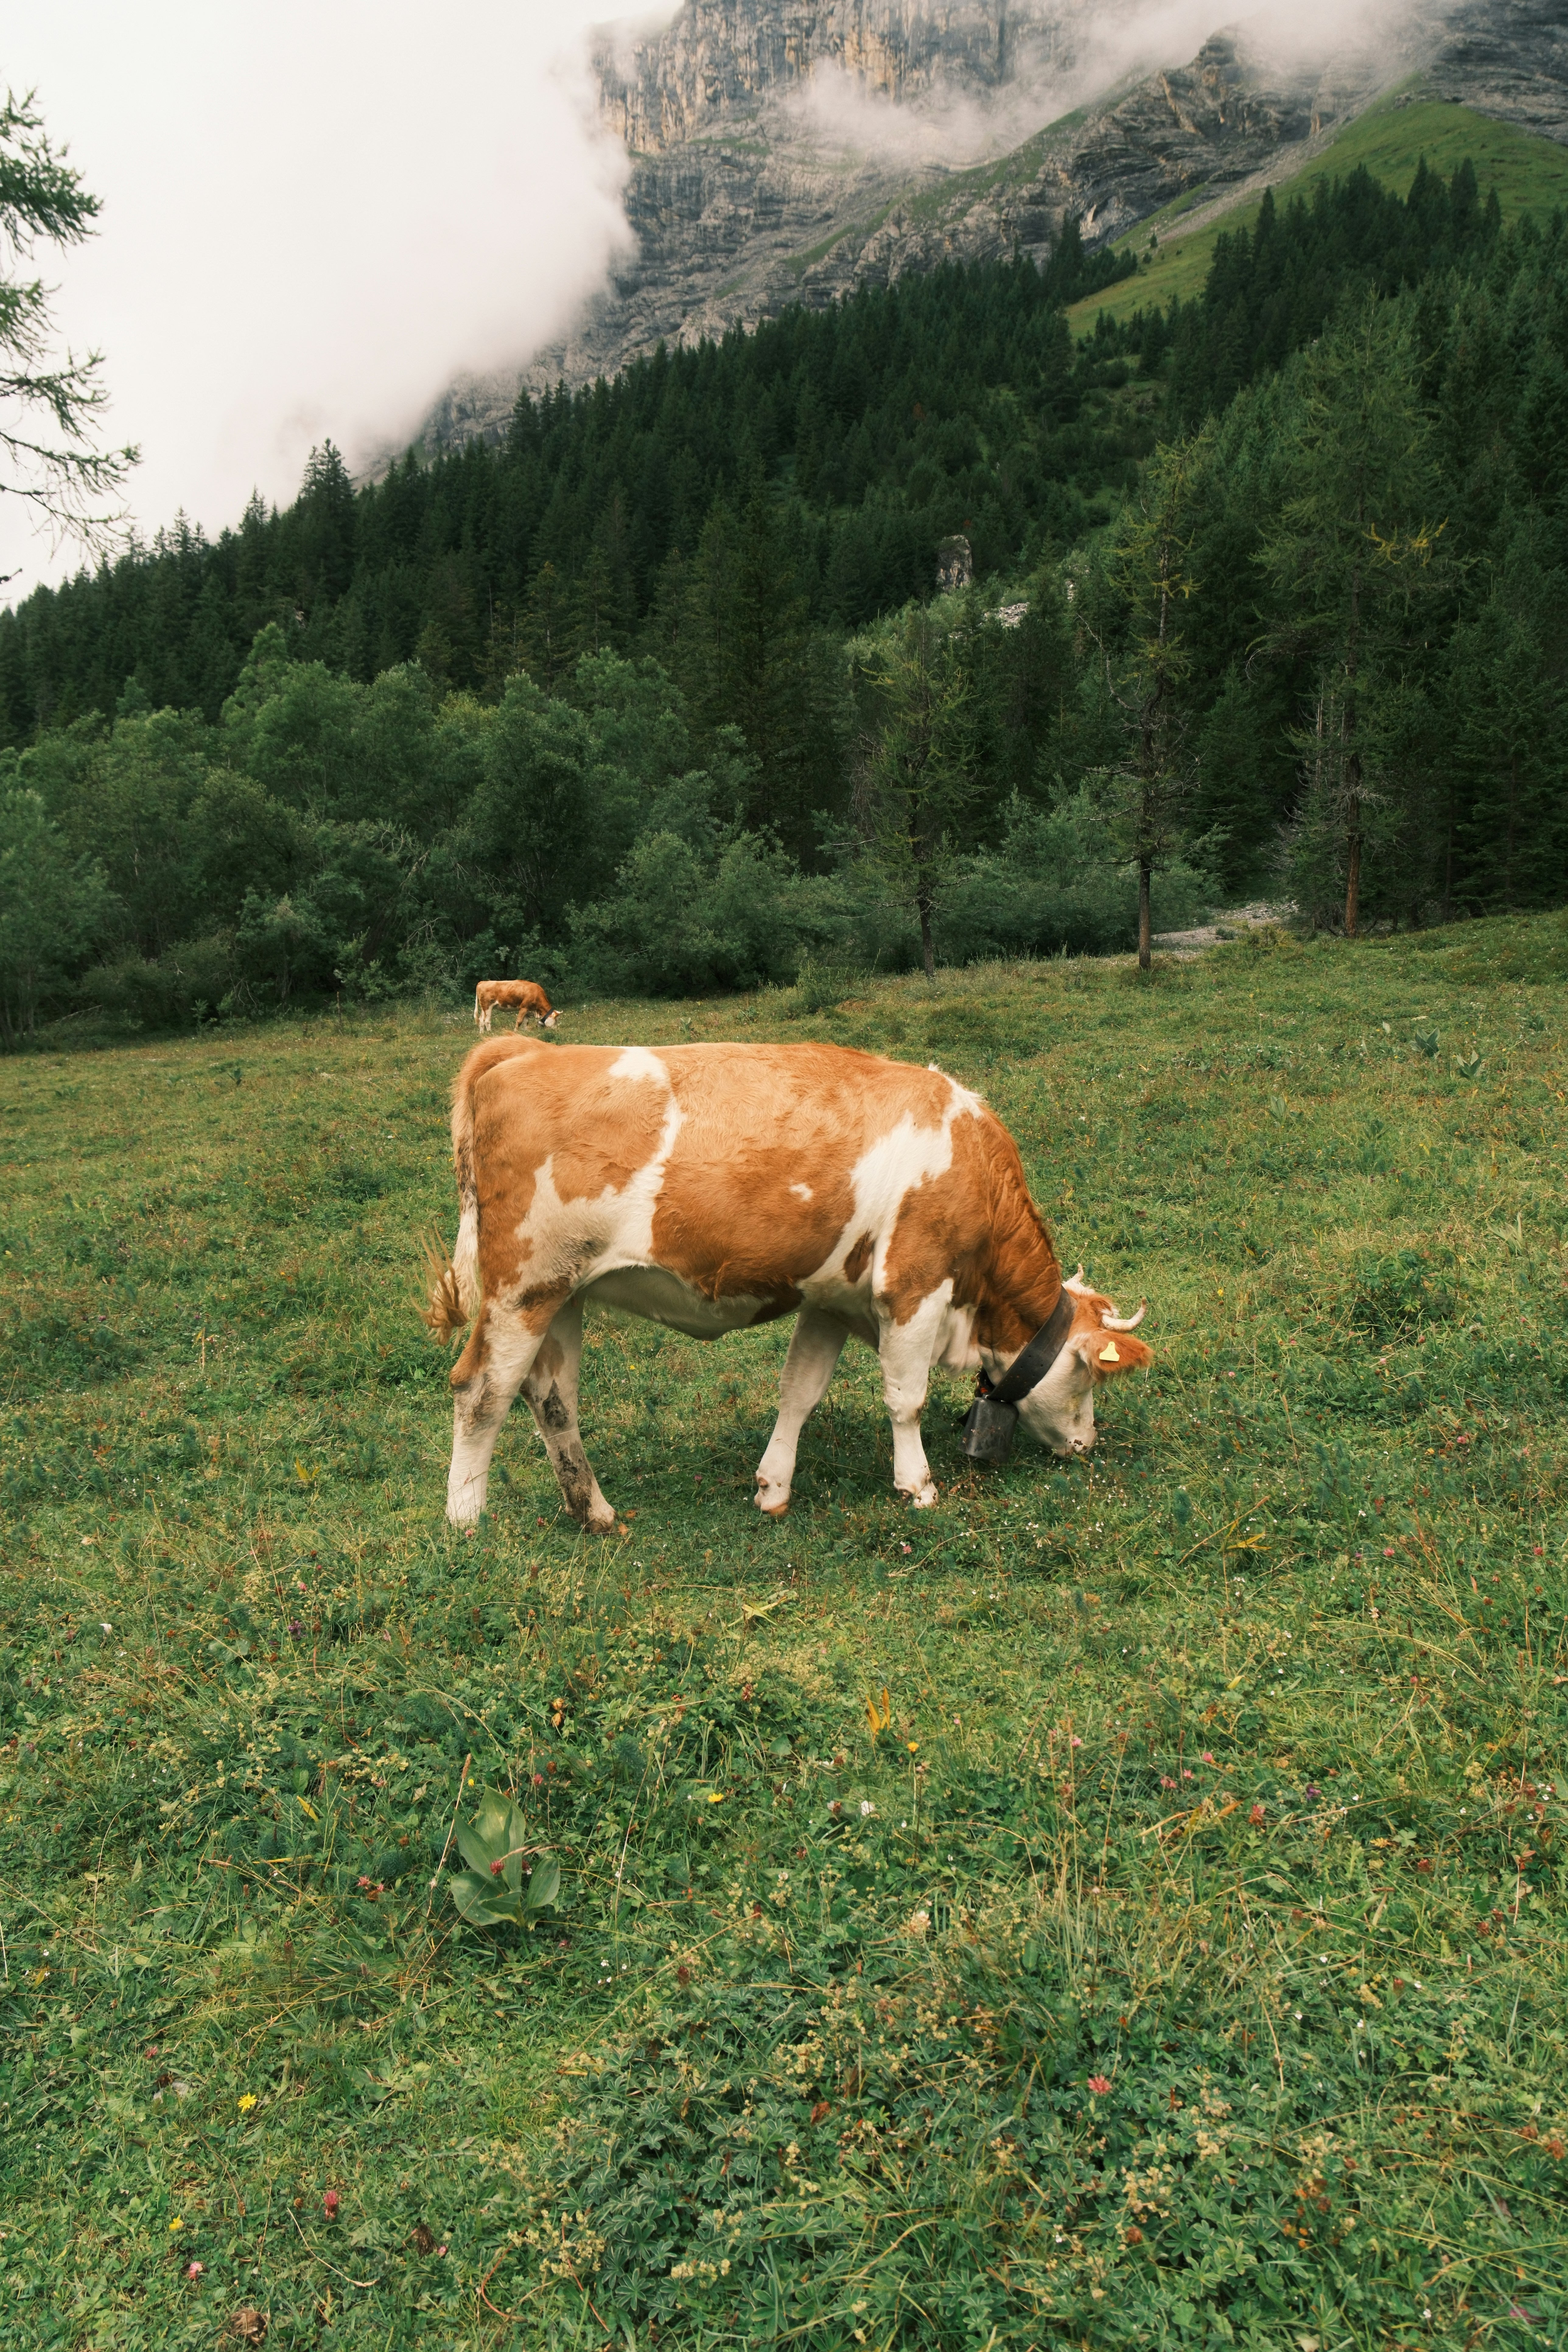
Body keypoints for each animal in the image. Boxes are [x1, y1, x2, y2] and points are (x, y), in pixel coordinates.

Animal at [424, 1036, 1151, 1530]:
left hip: (563, 1293)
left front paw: (773, 1487)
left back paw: (594, 1511)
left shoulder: (830, 1299)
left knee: (551, 1399)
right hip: (523, 1287)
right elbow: (906, 1399)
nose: (1087, 1444)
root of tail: (526, 1051)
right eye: (1087, 1374)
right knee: (481, 1391)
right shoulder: (913, 1286)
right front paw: (916, 1484)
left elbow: (800, 1391)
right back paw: (466, 1520)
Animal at [474, 979, 559, 1034]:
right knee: (487, 1021)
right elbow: (520, 1021)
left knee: (481, 1020)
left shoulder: (528, 1010)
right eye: (556, 1021)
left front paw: (526, 1031)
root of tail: (482, 982)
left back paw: (482, 1033)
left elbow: (526, 1022)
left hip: (484, 1008)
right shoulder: (524, 1008)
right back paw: (490, 1033)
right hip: (488, 1006)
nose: (556, 1030)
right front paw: (516, 1031)